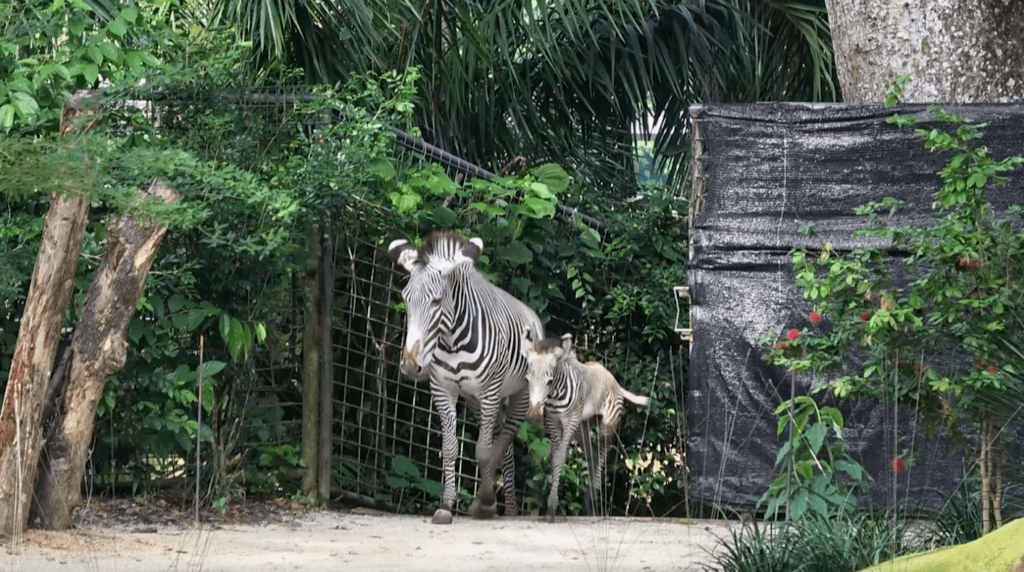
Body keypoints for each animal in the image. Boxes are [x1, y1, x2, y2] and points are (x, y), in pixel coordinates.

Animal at [388, 231, 544, 524]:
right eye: (405, 298)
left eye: (436, 301)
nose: (411, 366)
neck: (452, 341)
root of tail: (532, 315)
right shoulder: (443, 390)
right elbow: (450, 448)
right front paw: (446, 505)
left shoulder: (490, 392)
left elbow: (483, 450)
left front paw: (486, 503)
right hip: (476, 402)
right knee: (503, 445)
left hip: (517, 396)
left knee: (505, 440)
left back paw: (505, 508)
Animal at [523, 331, 651, 522]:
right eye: (528, 379)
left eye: (549, 381)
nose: (532, 414)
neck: (554, 395)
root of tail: (615, 382)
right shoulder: (553, 423)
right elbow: (554, 459)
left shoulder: (570, 421)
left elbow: (560, 458)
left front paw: (551, 508)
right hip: (583, 426)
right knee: (591, 456)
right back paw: (589, 503)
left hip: (606, 426)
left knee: (602, 455)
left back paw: (595, 501)